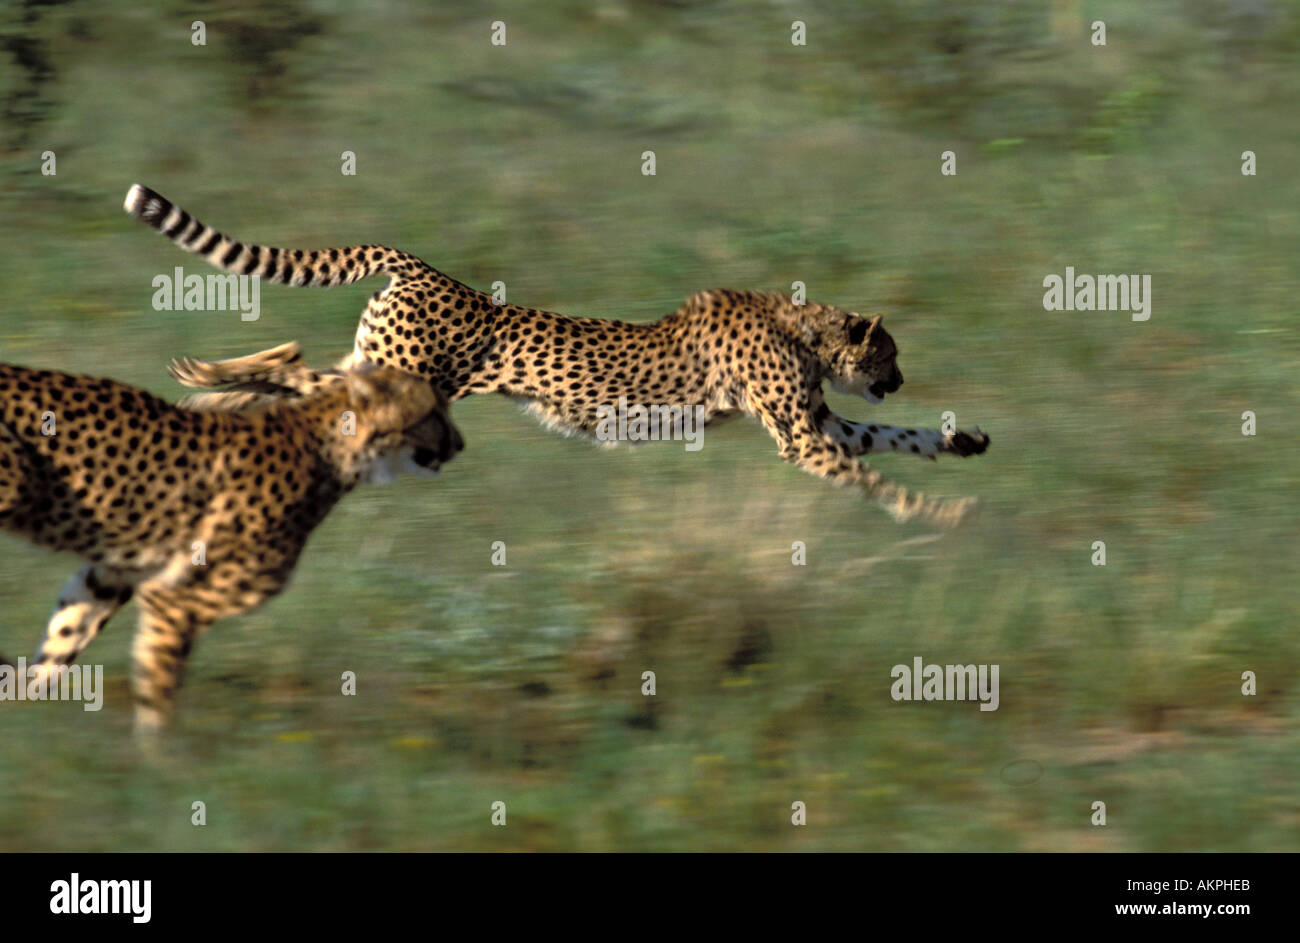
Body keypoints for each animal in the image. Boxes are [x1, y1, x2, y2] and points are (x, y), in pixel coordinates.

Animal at [0, 346, 462, 731]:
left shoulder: (114, 574)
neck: (330, 447)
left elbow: (63, 641)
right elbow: (158, 681)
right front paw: (164, 766)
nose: (460, 443)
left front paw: (19, 699)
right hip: (15, 481)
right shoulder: (174, 598)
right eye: (434, 412)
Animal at [125, 184, 988, 526]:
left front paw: (963, 443)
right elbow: (870, 474)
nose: (901, 376)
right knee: (303, 372)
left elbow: (892, 437)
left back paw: (205, 390)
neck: (802, 326)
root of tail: (423, 265)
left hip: (382, 365)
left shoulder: (821, 422)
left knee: (305, 372)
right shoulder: (802, 437)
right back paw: (205, 384)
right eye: (890, 353)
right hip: (402, 377)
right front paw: (936, 514)